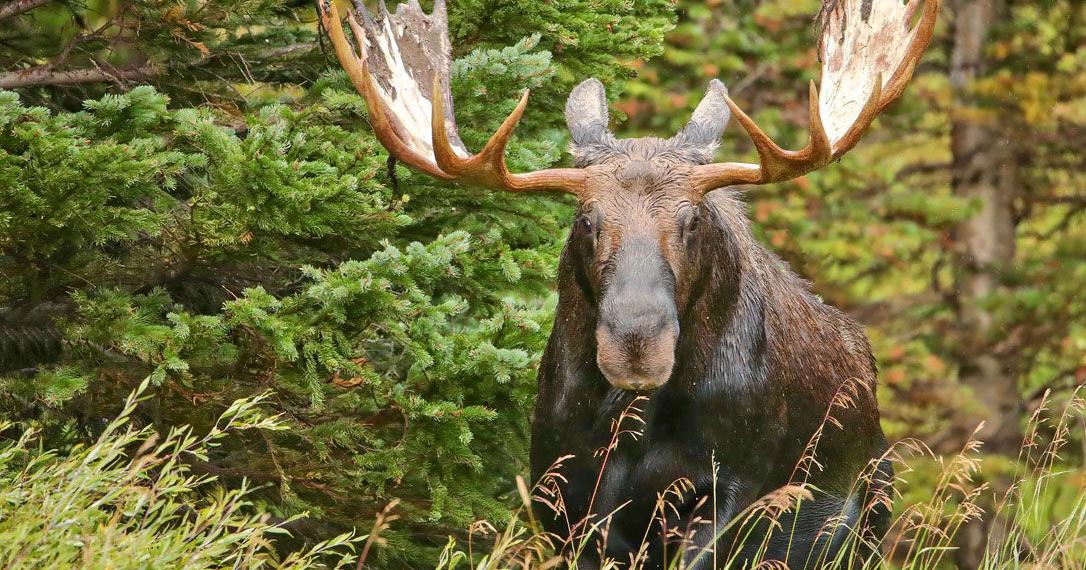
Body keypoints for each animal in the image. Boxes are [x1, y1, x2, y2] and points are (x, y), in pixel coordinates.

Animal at [318, 0, 938, 567]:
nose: (636, 342)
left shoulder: (738, 483)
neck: (636, 424)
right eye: (587, 220)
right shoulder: (561, 492)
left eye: (692, 219)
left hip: (869, 509)